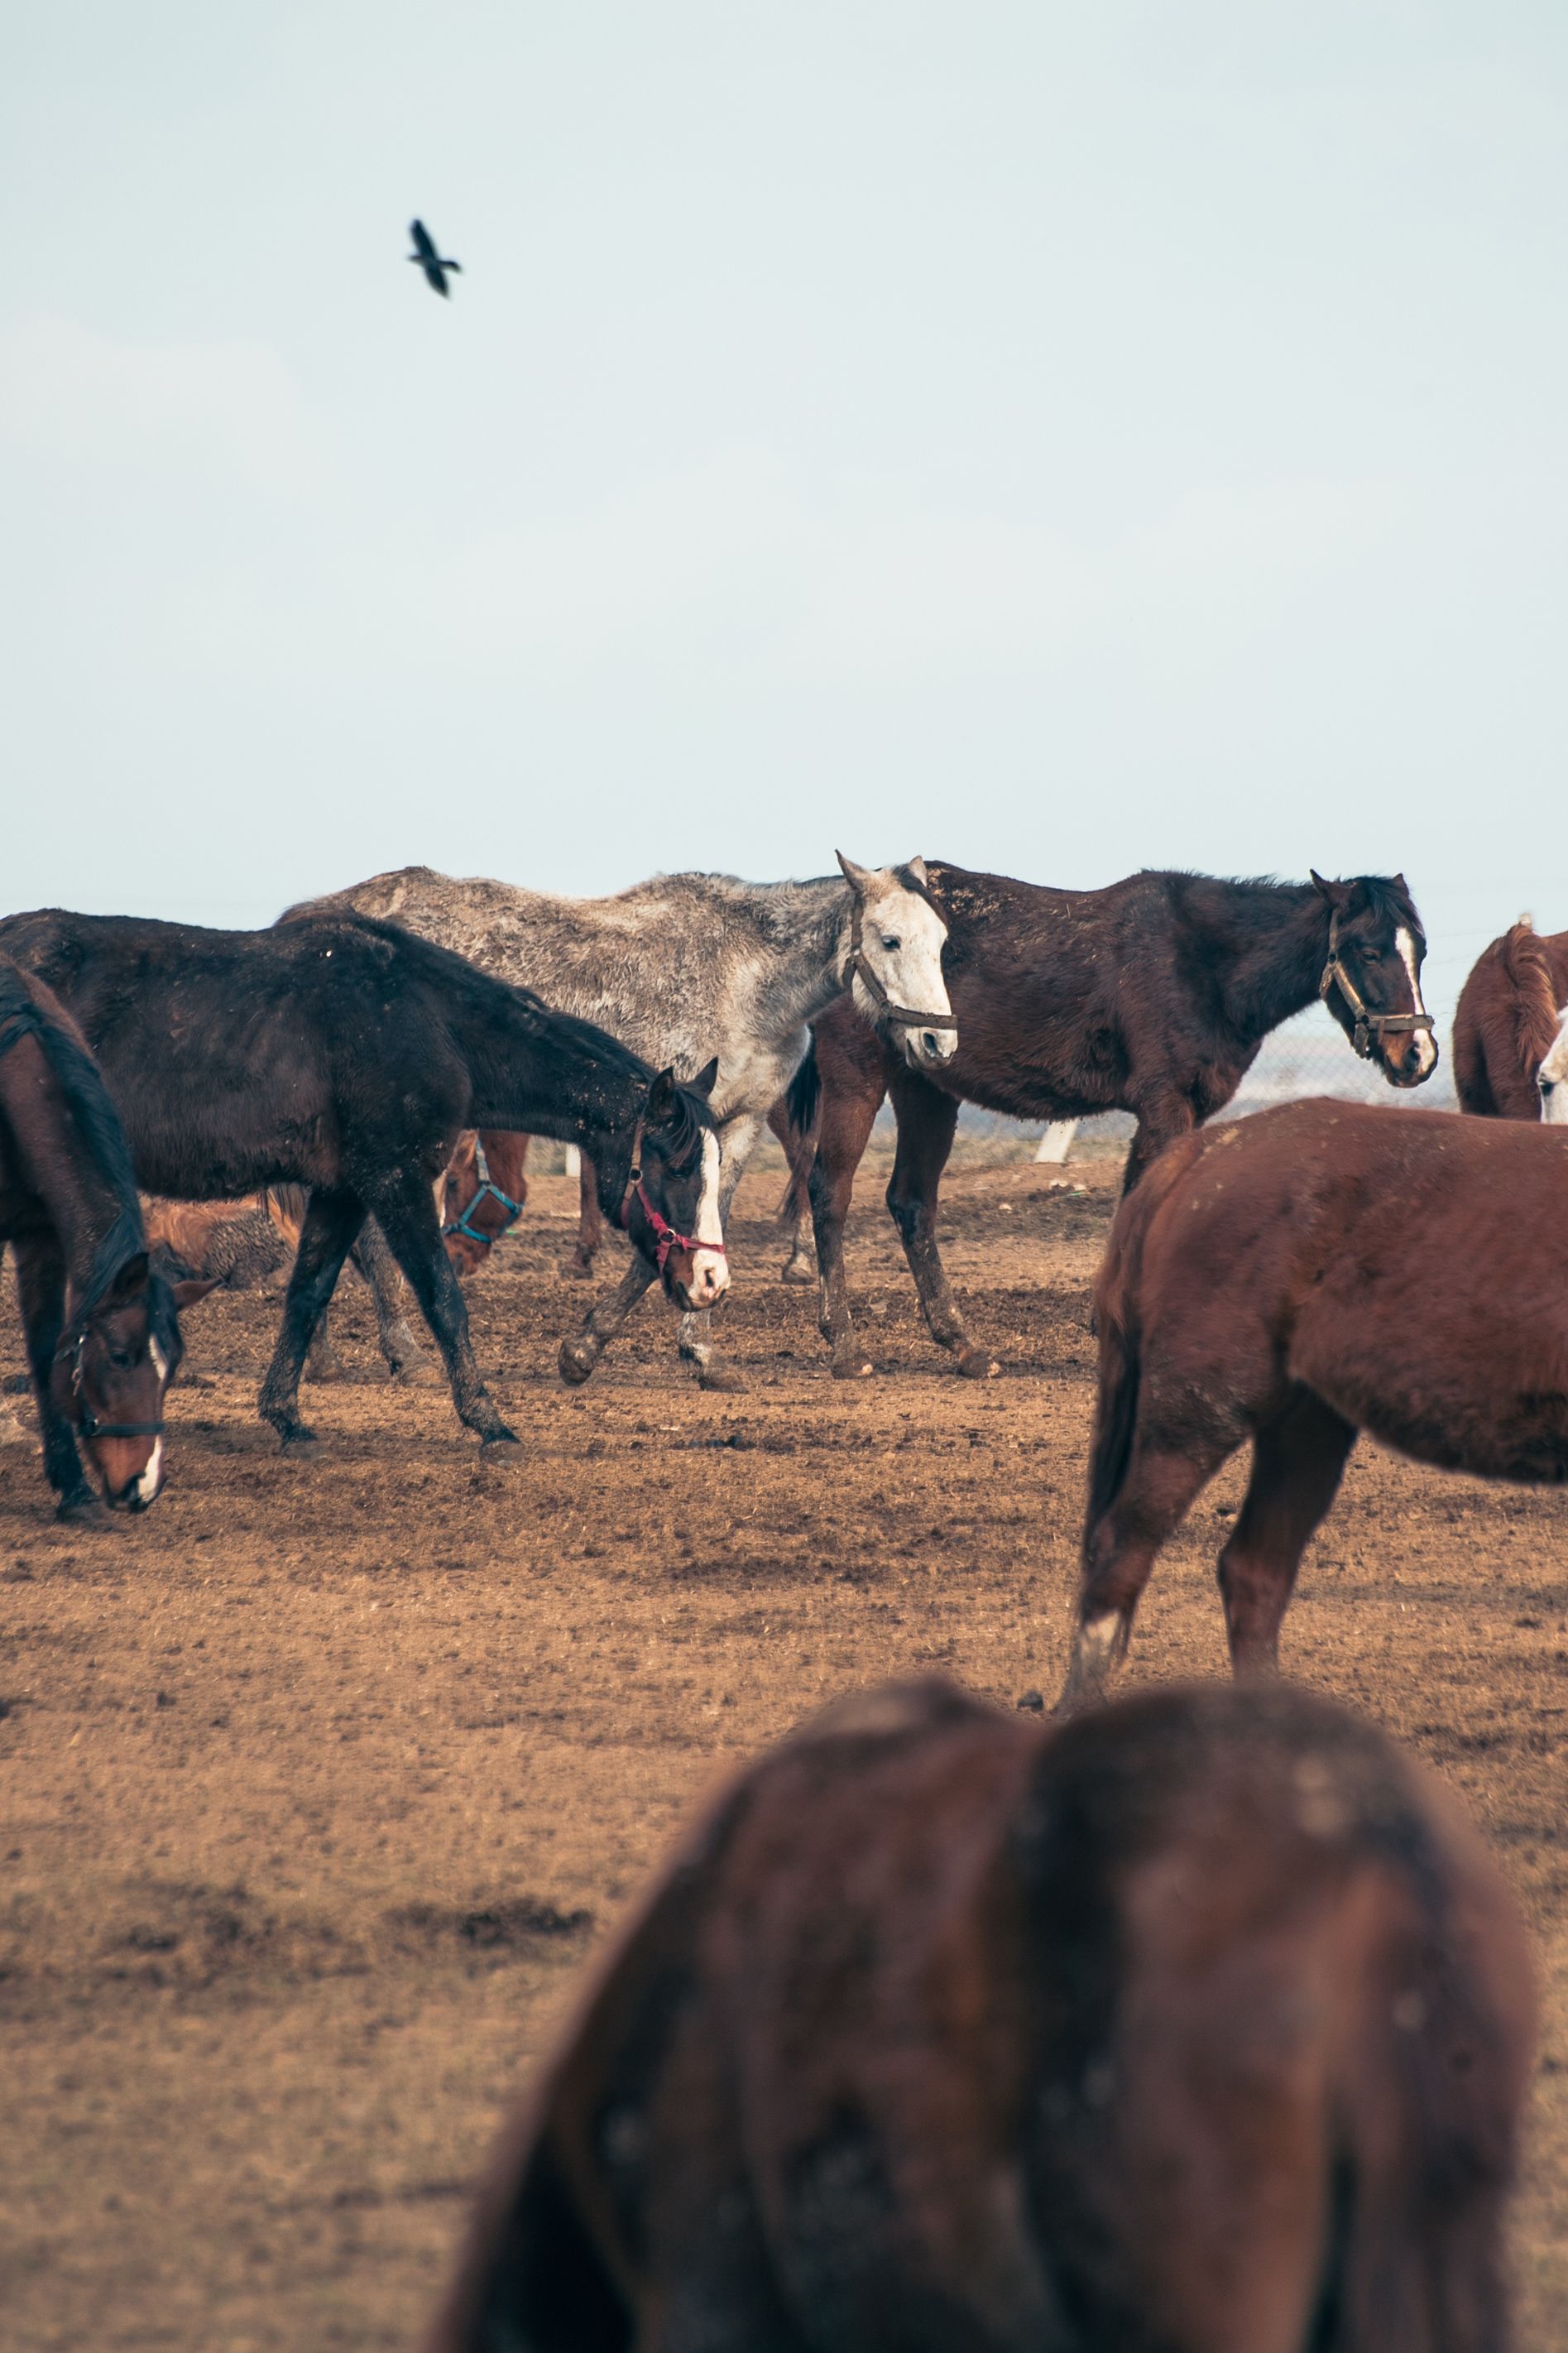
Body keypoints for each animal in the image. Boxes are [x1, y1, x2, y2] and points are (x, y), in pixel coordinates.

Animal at [0, 908, 725, 1454]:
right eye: (675, 1165)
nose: (712, 1281)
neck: (430, 1023)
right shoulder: (394, 1180)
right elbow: (442, 1298)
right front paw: (489, 1424)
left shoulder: (342, 1189)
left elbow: (307, 1292)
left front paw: (287, 1418)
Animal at [0, 957, 208, 1519]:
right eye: (119, 1357)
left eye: (172, 1367)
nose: (144, 1486)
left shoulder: (41, 1239)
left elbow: (46, 1346)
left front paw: (72, 1488)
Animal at [292, 854, 955, 1392]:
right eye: (891, 940)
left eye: (943, 942)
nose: (938, 1041)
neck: (747, 983)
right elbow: (656, 1238)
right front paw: (583, 1351)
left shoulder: (738, 1126)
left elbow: (708, 1220)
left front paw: (701, 1350)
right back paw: (404, 1355)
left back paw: (322, 1358)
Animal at [779, 865, 1436, 1378]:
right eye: (1368, 950)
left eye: (1419, 951)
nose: (1417, 1057)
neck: (1203, 963)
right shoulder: (1163, 1106)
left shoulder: (1185, 1111)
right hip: (858, 1079)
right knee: (830, 1193)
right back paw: (844, 1346)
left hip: (927, 1085)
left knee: (912, 1202)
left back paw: (963, 1346)